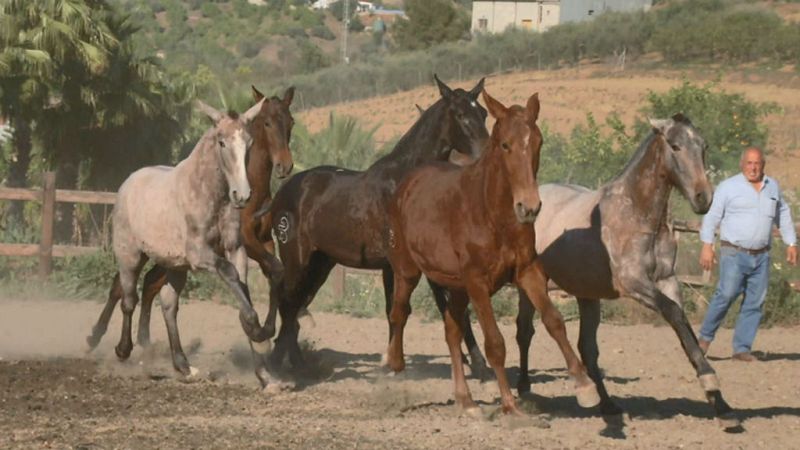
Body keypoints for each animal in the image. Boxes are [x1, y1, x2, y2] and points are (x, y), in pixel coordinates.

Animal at [96, 97, 282, 388]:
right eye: (221, 142)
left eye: (249, 142)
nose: (242, 195)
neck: (210, 195)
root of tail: (128, 182)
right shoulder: (199, 255)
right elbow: (229, 273)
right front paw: (255, 326)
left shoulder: (236, 249)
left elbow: (242, 288)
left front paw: (265, 372)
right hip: (131, 255)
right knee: (128, 298)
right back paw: (123, 350)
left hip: (176, 267)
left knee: (168, 304)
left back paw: (183, 366)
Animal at [267, 76, 490, 374]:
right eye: (461, 115)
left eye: (484, 113)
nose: (486, 155)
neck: (404, 183)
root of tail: (283, 190)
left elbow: (402, 310)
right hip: (297, 258)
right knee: (288, 301)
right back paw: (281, 364)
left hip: (320, 263)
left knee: (296, 303)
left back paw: (294, 363)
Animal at [385, 90, 599, 414]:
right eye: (505, 144)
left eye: (538, 142)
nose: (529, 207)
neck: (491, 213)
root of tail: (408, 182)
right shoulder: (477, 283)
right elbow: (495, 344)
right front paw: (511, 406)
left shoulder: (527, 272)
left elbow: (554, 321)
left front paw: (586, 387)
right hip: (407, 270)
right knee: (399, 312)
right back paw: (396, 370)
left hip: (455, 285)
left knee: (451, 330)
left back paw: (466, 400)